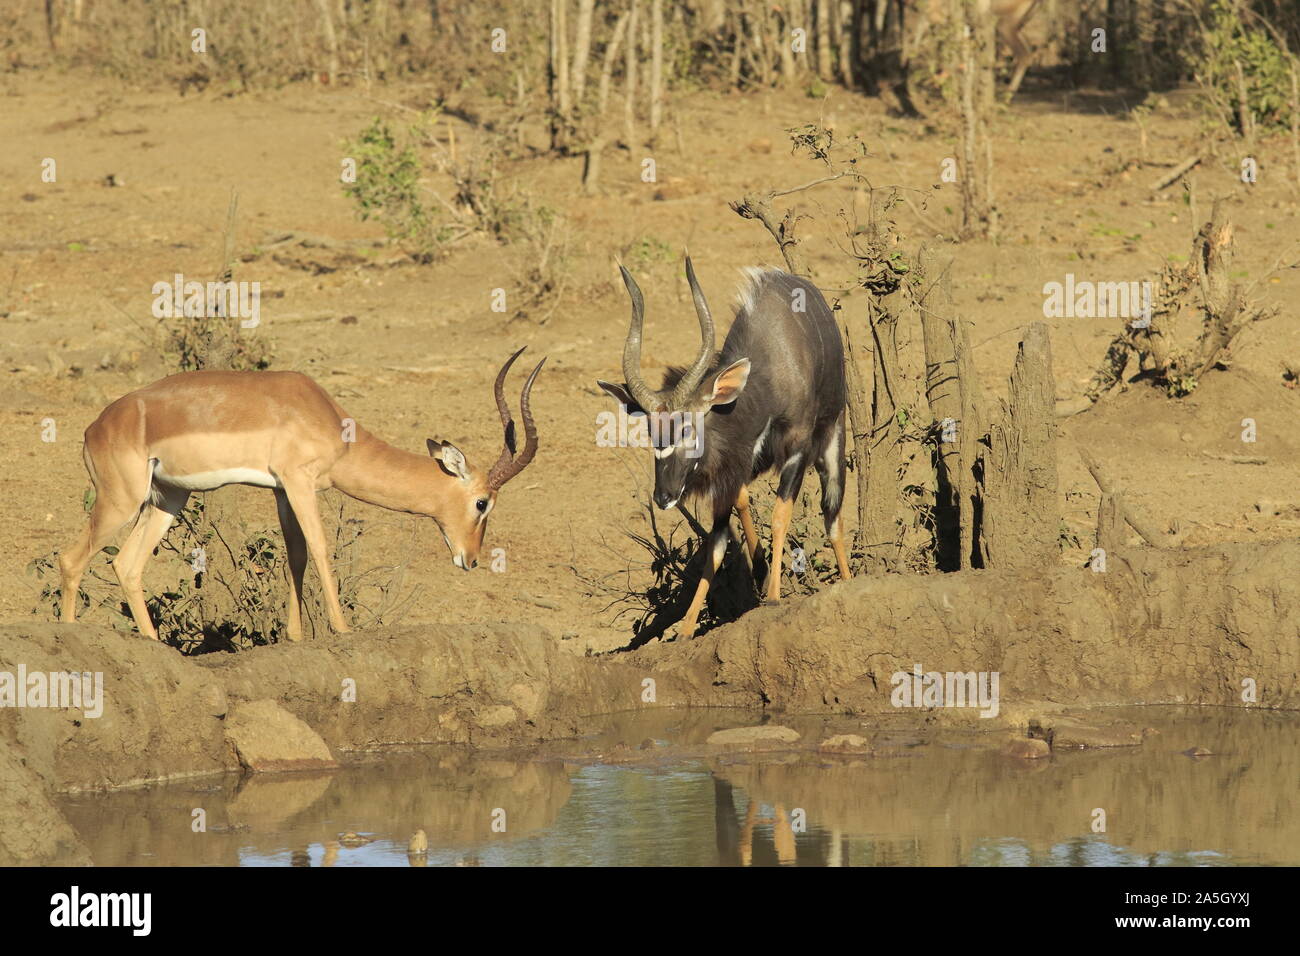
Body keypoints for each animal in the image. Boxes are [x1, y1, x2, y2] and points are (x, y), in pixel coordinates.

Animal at [58, 348, 544, 643]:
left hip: (168, 499)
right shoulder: (298, 481)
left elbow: (296, 554)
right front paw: (342, 630)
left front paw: (294, 636)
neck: (331, 424)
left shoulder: (281, 489)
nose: (472, 559)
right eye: (482, 502)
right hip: (121, 501)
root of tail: (94, 428)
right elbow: (321, 547)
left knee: (126, 564)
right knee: (71, 558)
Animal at [597, 257, 852, 638]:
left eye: (688, 429)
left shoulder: (797, 451)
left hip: (832, 436)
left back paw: (847, 581)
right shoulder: (732, 470)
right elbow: (716, 543)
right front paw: (686, 629)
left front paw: (774, 597)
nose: (663, 496)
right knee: (747, 499)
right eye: (652, 432)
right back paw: (760, 570)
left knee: (832, 513)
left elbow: (780, 515)